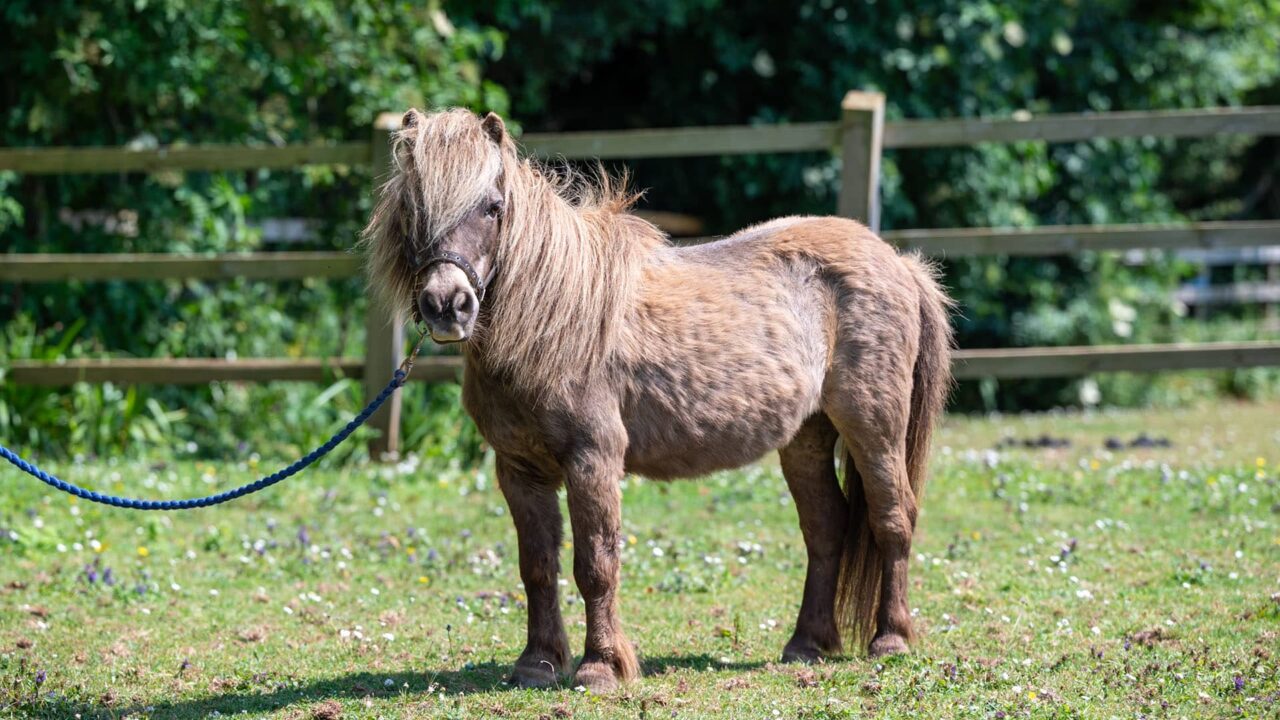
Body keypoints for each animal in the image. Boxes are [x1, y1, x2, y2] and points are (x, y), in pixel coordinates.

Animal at [362, 108, 954, 692]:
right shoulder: (520, 471)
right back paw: (805, 644)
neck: (551, 320)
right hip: (807, 437)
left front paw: (601, 667)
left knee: (893, 517)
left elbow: (595, 564)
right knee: (826, 527)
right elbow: (537, 567)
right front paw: (537, 664)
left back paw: (890, 639)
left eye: (492, 206)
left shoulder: (593, 459)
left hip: (872, 426)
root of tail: (899, 262)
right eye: (413, 207)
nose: (447, 304)